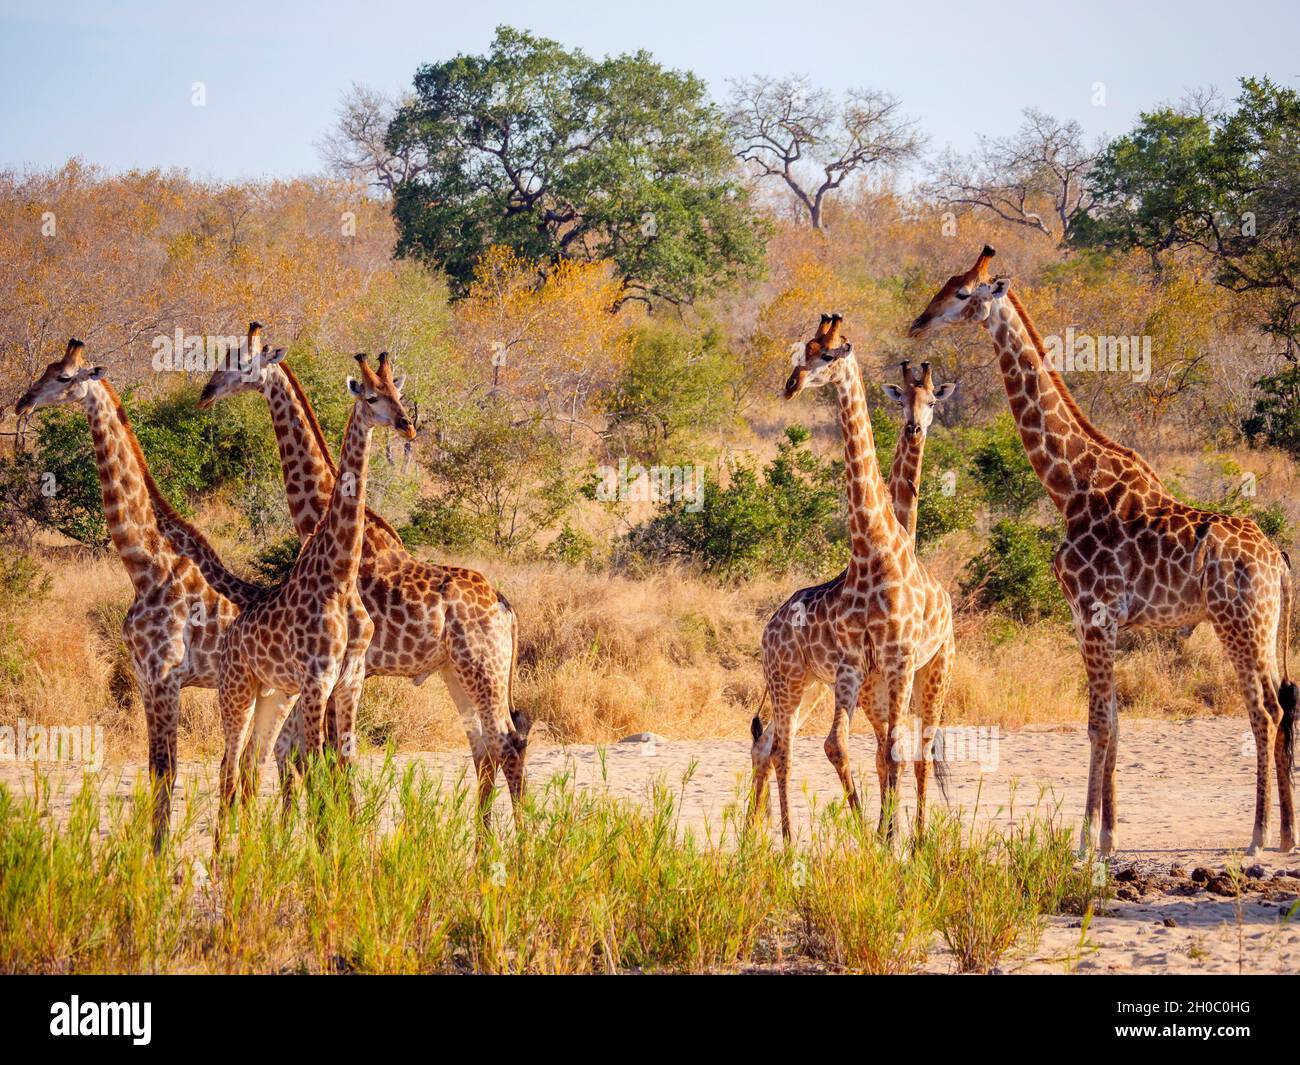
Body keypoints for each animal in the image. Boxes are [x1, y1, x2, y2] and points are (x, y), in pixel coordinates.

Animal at [14, 340, 271, 849]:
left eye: (64, 378)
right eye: (48, 369)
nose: (22, 403)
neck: (144, 565)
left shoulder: (165, 677)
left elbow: (168, 769)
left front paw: (156, 858)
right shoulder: (143, 678)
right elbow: (155, 771)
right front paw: (152, 854)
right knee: (259, 770)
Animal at [182, 325, 530, 823]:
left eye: (241, 362)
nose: (207, 392)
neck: (317, 509)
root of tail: (506, 607)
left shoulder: (347, 673)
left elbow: (314, 756)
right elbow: (300, 755)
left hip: (482, 668)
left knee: (508, 742)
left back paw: (520, 838)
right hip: (457, 672)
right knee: (485, 748)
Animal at [751, 315, 956, 841]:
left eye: (829, 354)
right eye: (804, 349)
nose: (791, 383)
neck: (874, 549)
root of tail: (768, 629)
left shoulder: (893, 662)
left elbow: (888, 752)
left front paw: (887, 835)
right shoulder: (855, 669)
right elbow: (849, 747)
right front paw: (876, 834)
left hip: (934, 668)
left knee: (922, 748)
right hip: (795, 681)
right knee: (776, 744)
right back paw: (775, 837)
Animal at [910, 246, 1298, 856]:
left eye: (964, 293)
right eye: (947, 285)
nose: (919, 323)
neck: (1070, 485)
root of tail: (1278, 559)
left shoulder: (1095, 613)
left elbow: (1096, 723)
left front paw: (1085, 836)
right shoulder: (1094, 618)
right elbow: (1112, 720)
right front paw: (1108, 836)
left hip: (1239, 621)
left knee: (1263, 709)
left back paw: (1257, 835)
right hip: (1263, 622)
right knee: (1281, 703)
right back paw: (1285, 833)